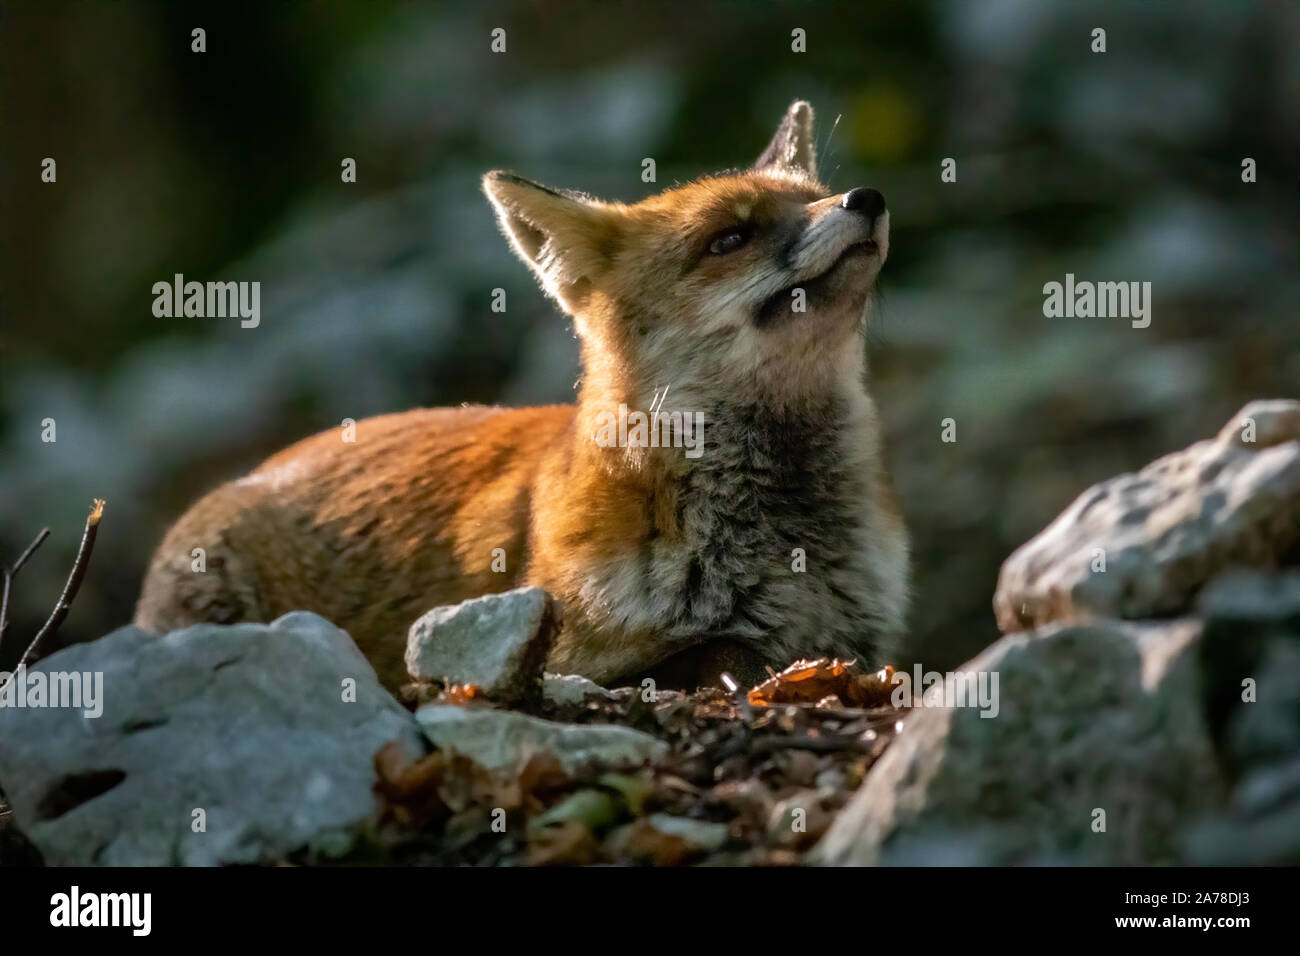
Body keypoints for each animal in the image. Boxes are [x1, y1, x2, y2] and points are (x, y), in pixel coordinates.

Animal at [135, 100, 909, 691]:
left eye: (812, 198)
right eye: (730, 238)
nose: (868, 198)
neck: (788, 540)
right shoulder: (571, 653)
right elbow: (721, 650)